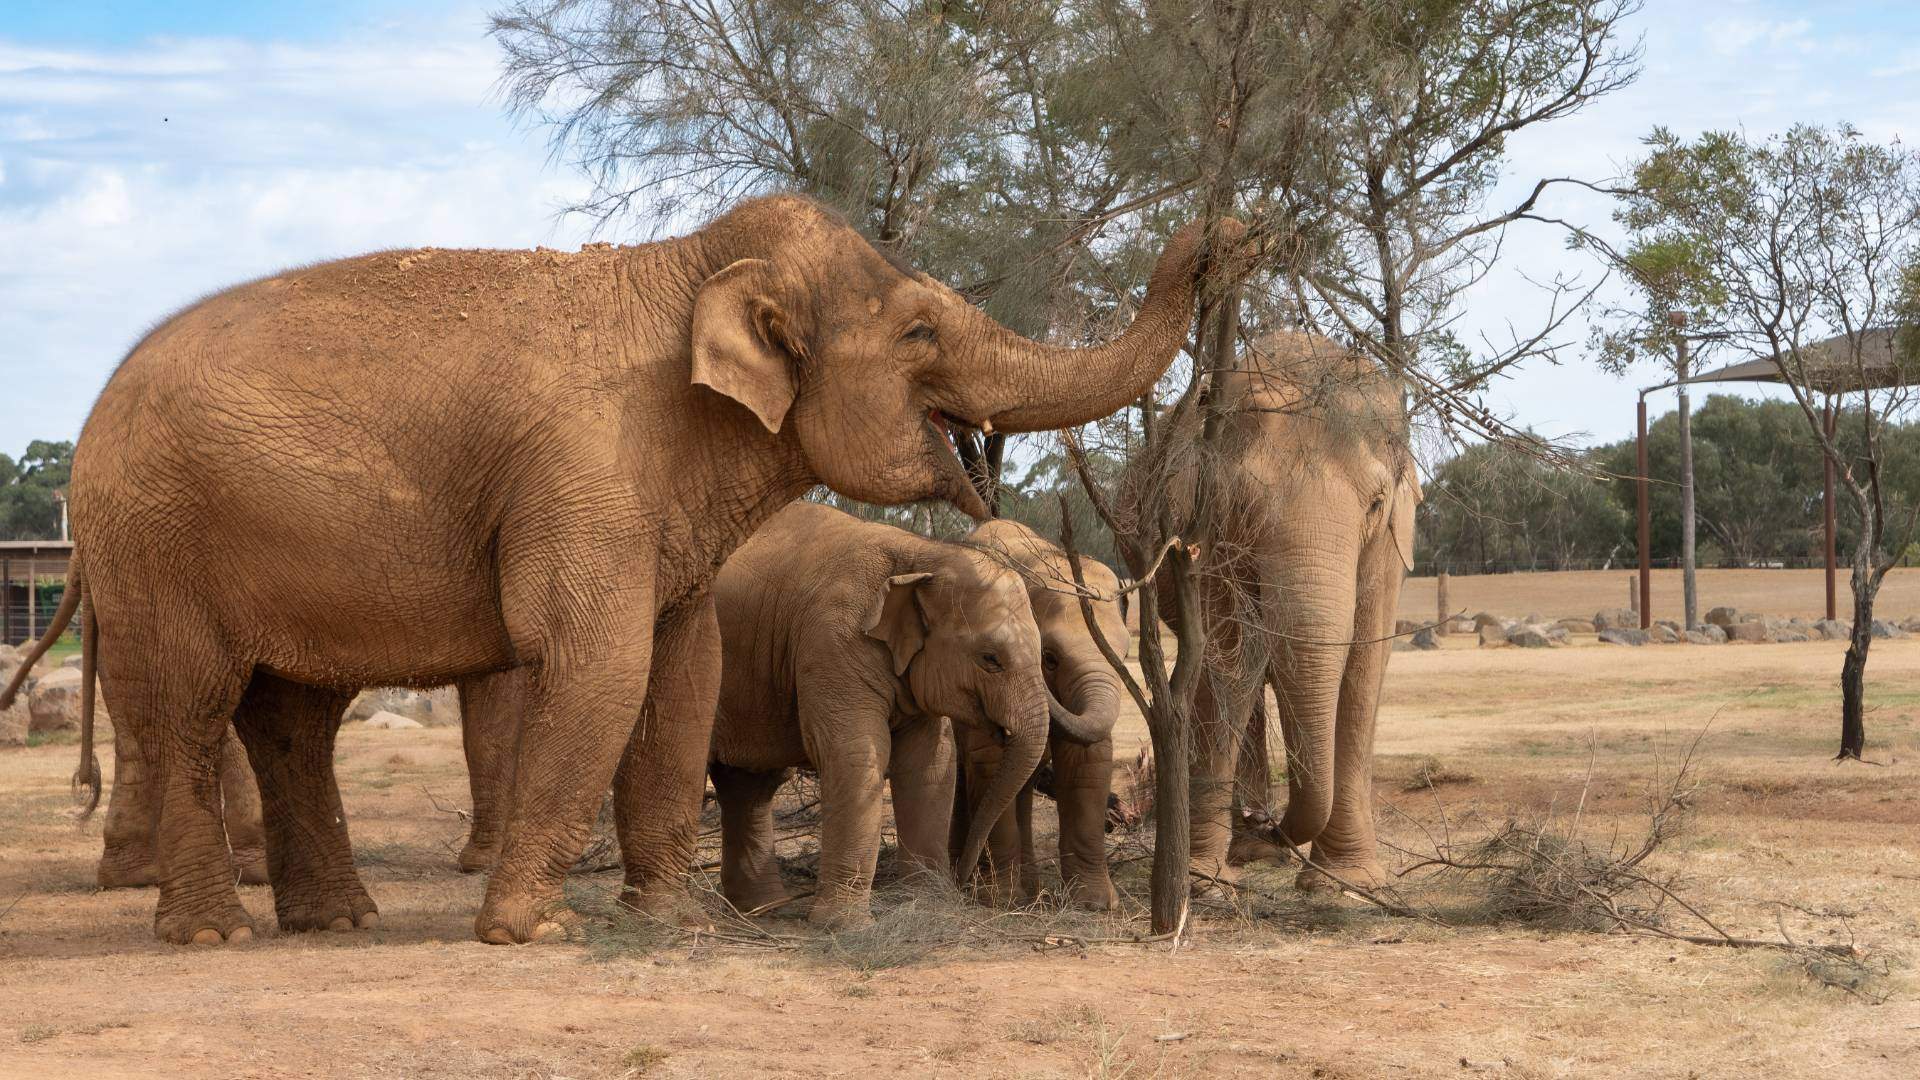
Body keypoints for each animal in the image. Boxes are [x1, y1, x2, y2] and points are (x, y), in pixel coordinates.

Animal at [949, 519, 1130, 910]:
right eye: (1049, 657)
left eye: (1123, 654)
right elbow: (990, 759)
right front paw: (1000, 900)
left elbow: (1086, 760)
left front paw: (1096, 905)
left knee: (1021, 781)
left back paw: (1026, 888)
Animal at [1151, 331, 1418, 891]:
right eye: (1244, 505)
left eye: (1375, 504)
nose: (1268, 823)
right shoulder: (1201, 533)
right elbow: (1224, 654)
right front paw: (1201, 878)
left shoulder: (1388, 547)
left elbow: (1365, 666)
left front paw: (1350, 884)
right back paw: (1246, 854)